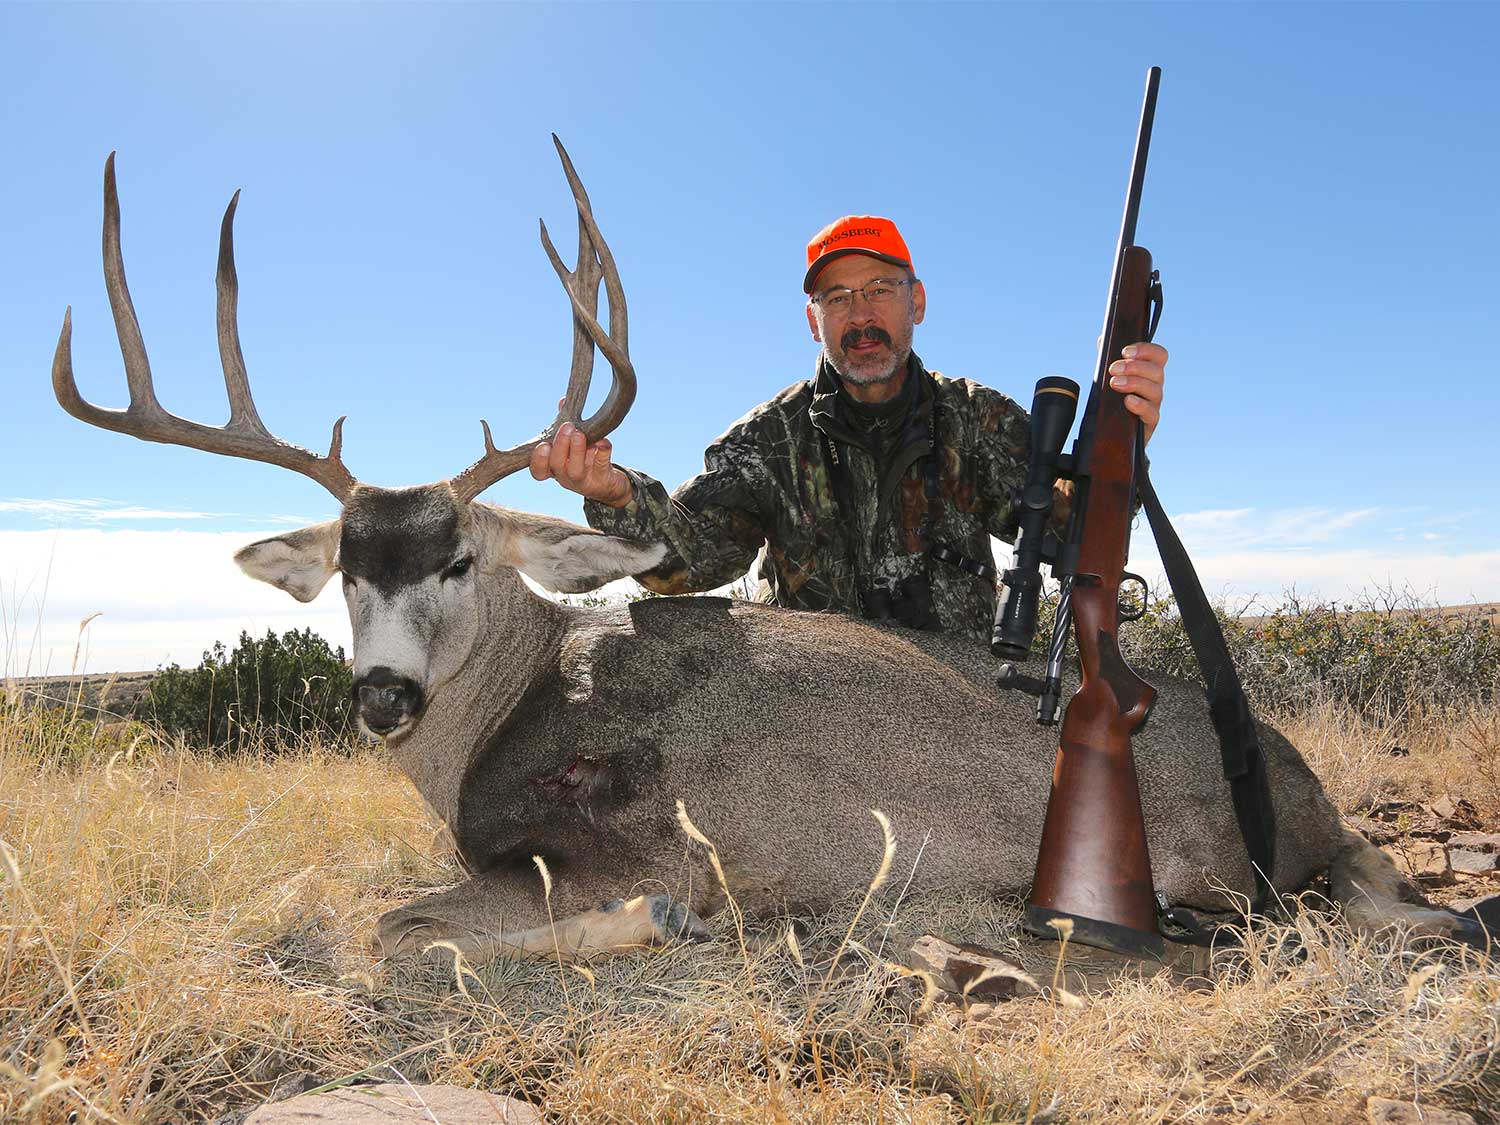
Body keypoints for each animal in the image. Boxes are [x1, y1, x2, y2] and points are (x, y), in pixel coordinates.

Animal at [51, 143, 1479, 964]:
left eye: (459, 558)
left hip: (1238, 871)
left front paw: (654, 923)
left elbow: (390, 929)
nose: (384, 696)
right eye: (351, 566)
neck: (516, 705)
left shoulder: (606, 847)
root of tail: (1298, 781)